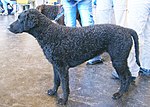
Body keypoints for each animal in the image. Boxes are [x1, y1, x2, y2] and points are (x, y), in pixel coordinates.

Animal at [8, 9, 141, 104]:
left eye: (20, 19)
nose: (8, 27)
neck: (49, 33)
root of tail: (126, 29)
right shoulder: (55, 66)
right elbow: (56, 81)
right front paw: (53, 91)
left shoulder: (62, 68)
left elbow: (65, 86)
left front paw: (63, 100)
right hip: (121, 60)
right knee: (128, 76)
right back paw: (125, 91)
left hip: (118, 61)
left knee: (124, 78)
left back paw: (119, 94)